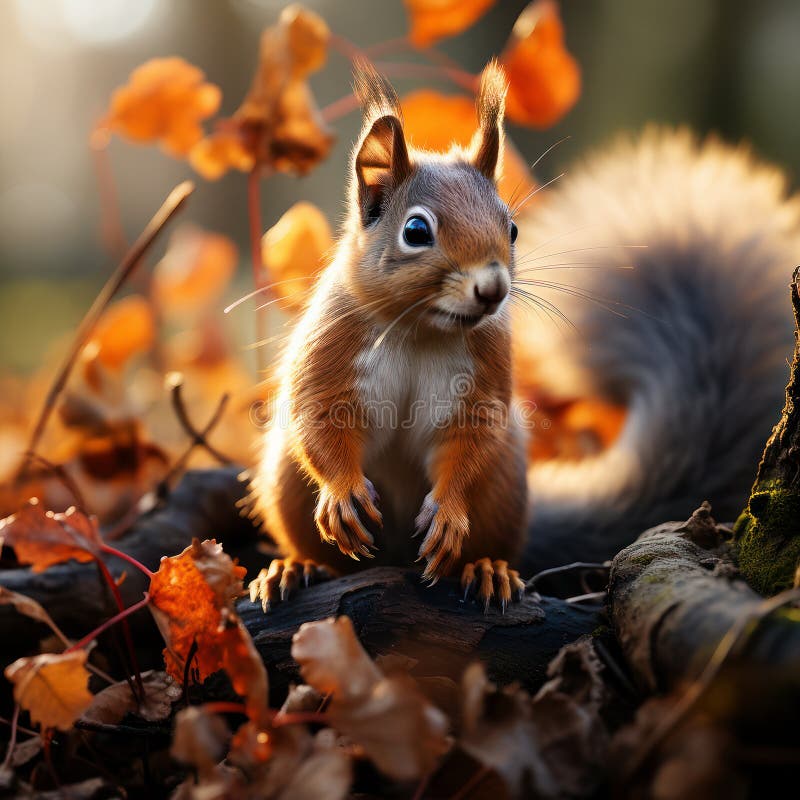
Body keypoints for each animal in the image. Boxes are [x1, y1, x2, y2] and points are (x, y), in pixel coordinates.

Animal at [249, 62, 799, 609]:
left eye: (511, 229)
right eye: (416, 232)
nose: (492, 288)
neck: (421, 331)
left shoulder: (484, 378)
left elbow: (471, 441)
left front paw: (449, 512)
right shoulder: (332, 347)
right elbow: (318, 419)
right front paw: (343, 494)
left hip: (504, 488)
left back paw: (487, 569)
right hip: (285, 486)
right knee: (322, 551)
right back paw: (295, 567)